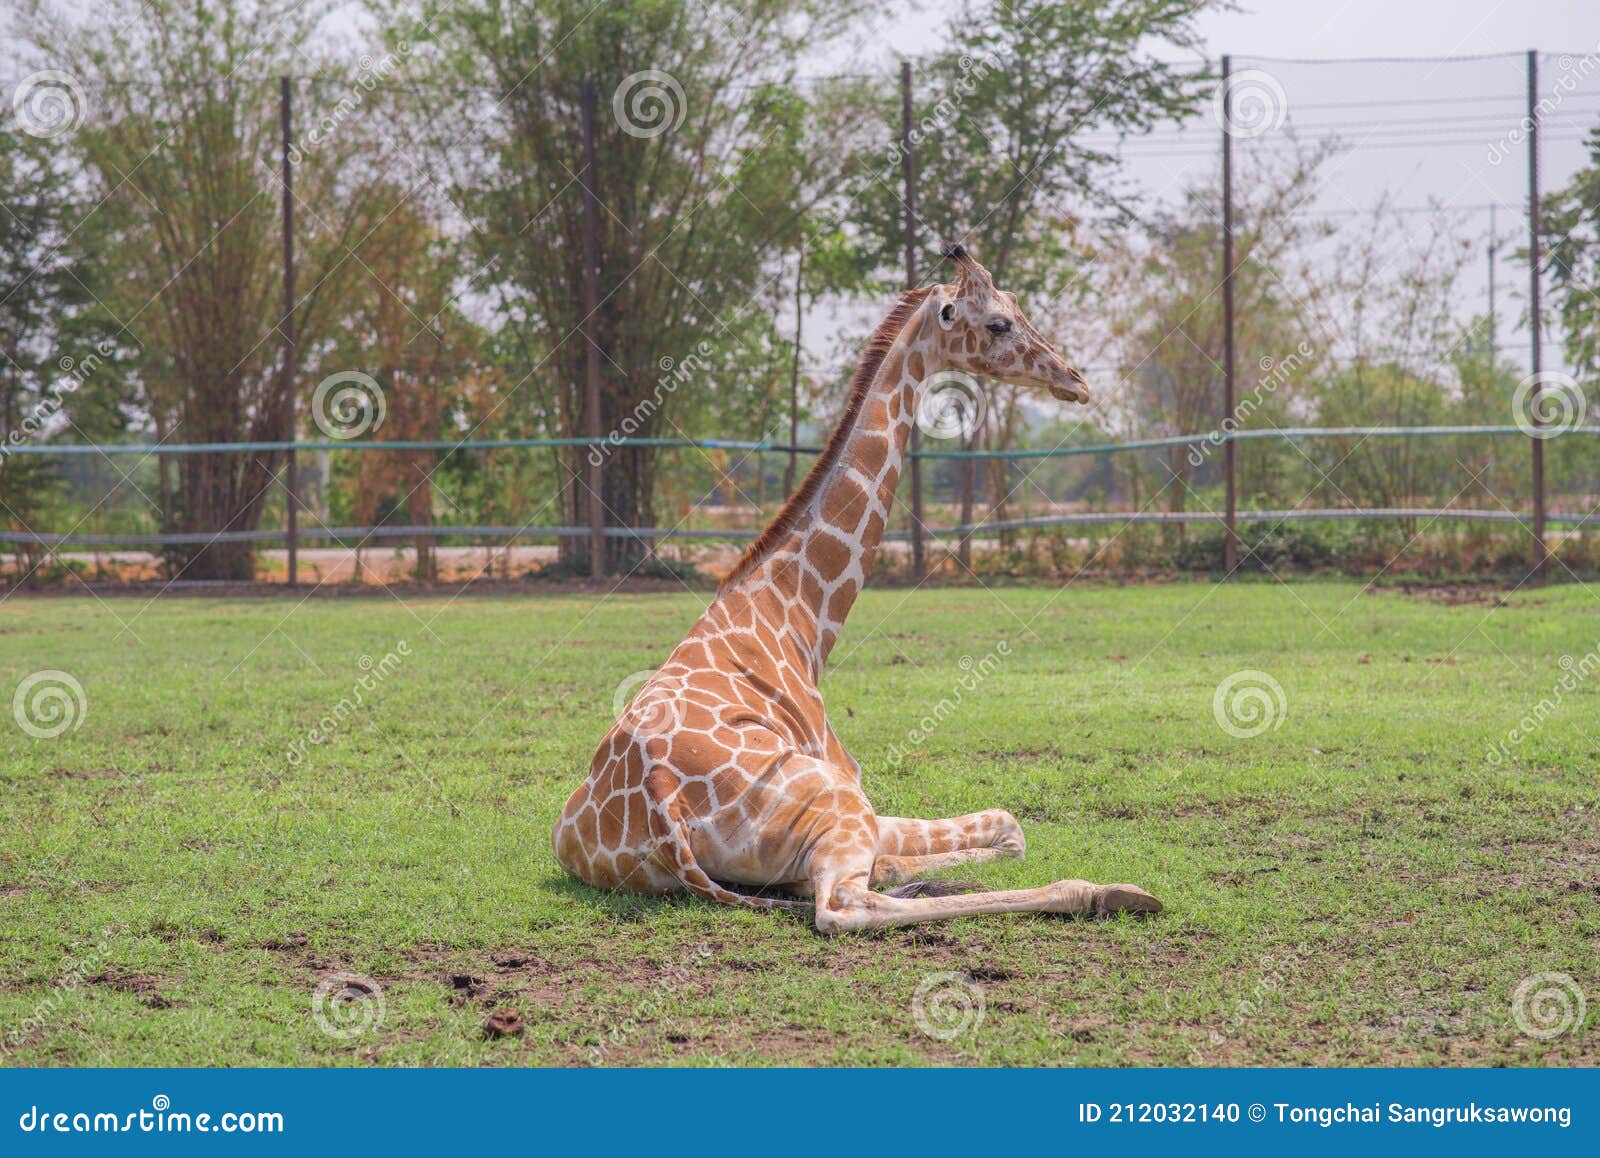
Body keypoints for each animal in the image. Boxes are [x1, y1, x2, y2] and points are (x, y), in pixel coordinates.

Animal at [553, 243, 1162, 933]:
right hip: (838, 804)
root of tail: (660, 813)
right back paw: (1107, 891)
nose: (1075, 381)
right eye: (1000, 322)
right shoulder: (856, 782)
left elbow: (999, 829)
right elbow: (1011, 827)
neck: (797, 618)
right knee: (843, 905)